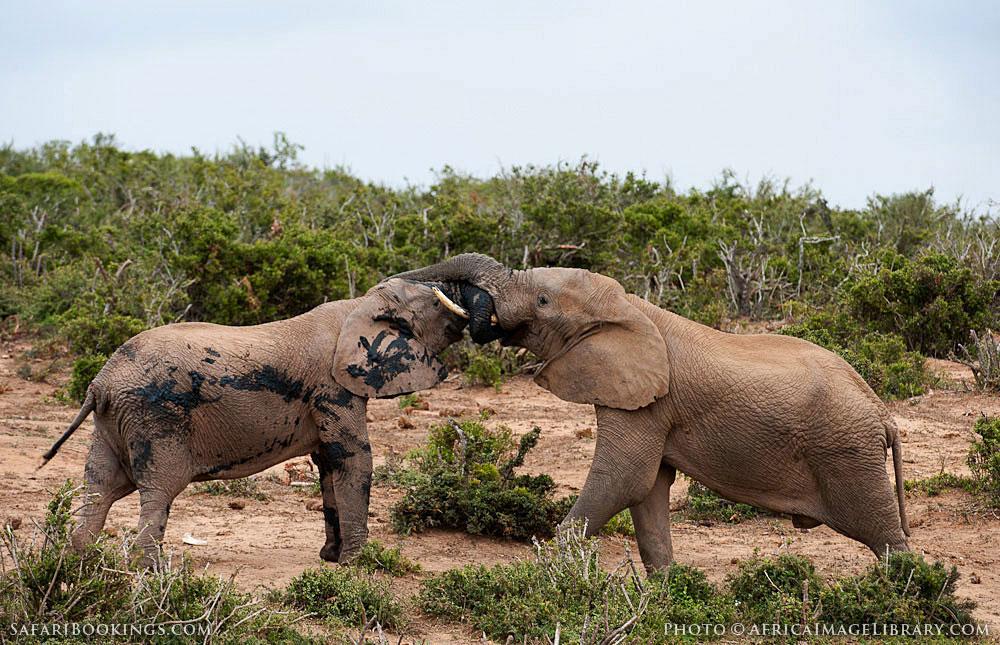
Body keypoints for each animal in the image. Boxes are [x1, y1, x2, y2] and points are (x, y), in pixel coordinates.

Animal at [39, 278, 480, 567]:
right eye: (435, 304)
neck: (359, 305)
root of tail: (100, 382)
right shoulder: (332, 388)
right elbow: (353, 459)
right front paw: (357, 564)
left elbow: (328, 465)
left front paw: (331, 558)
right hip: (155, 416)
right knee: (158, 490)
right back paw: (149, 572)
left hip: (112, 422)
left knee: (99, 488)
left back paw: (74, 564)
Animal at [392, 253, 911, 573]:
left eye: (542, 301)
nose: (405, 283)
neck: (630, 307)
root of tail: (883, 412)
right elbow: (648, 493)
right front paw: (667, 595)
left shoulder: (646, 402)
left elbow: (623, 478)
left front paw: (551, 575)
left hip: (847, 452)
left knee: (883, 533)